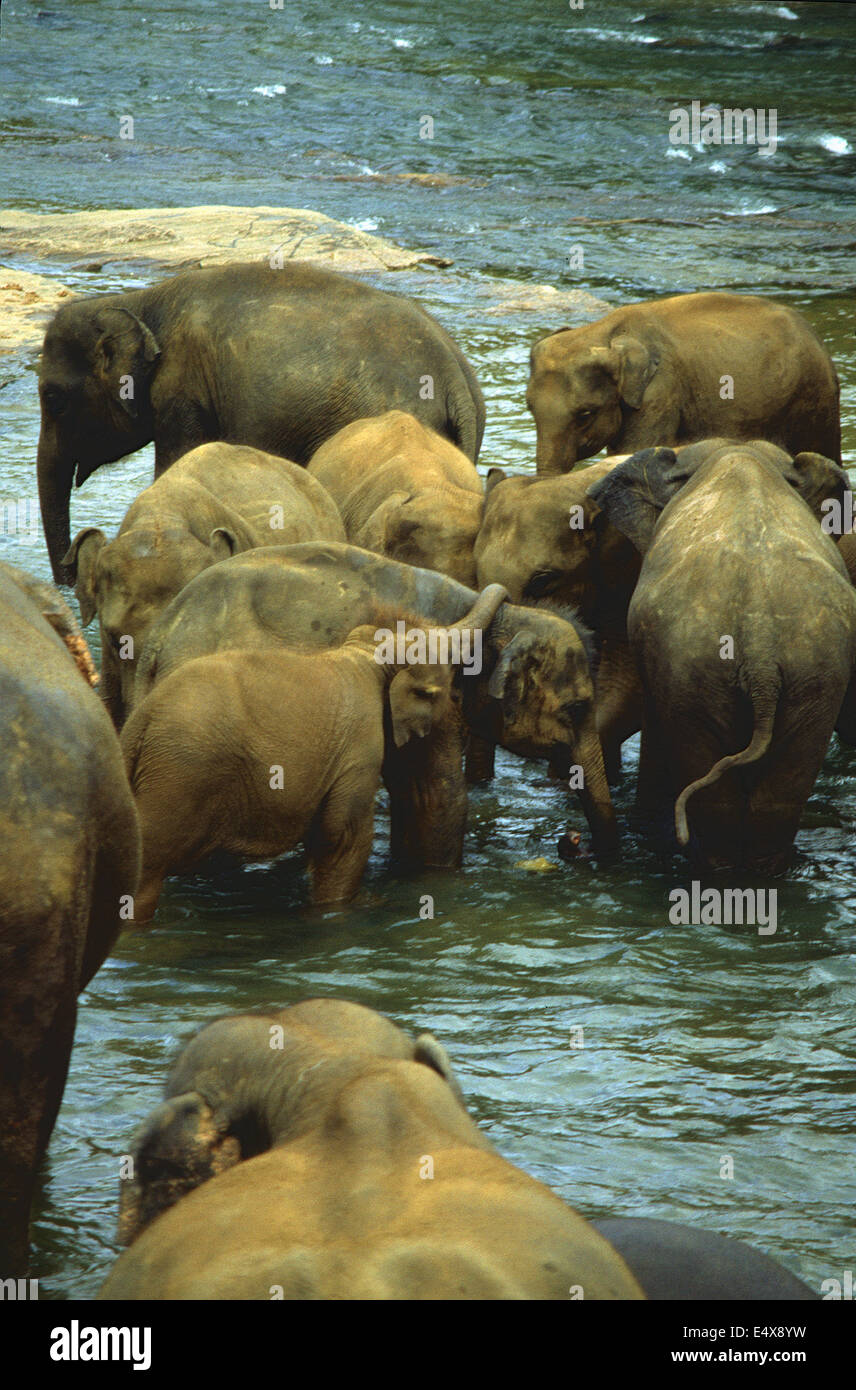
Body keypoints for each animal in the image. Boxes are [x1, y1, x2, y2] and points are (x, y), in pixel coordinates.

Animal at [121, 588, 507, 917]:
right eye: (443, 693)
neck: (364, 653)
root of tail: (141, 720)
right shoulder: (358, 749)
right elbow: (343, 835)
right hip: (180, 776)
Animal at [528, 291, 840, 476]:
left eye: (585, 415)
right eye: (530, 410)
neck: (602, 333)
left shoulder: (660, 392)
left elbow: (633, 451)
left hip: (813, 396)